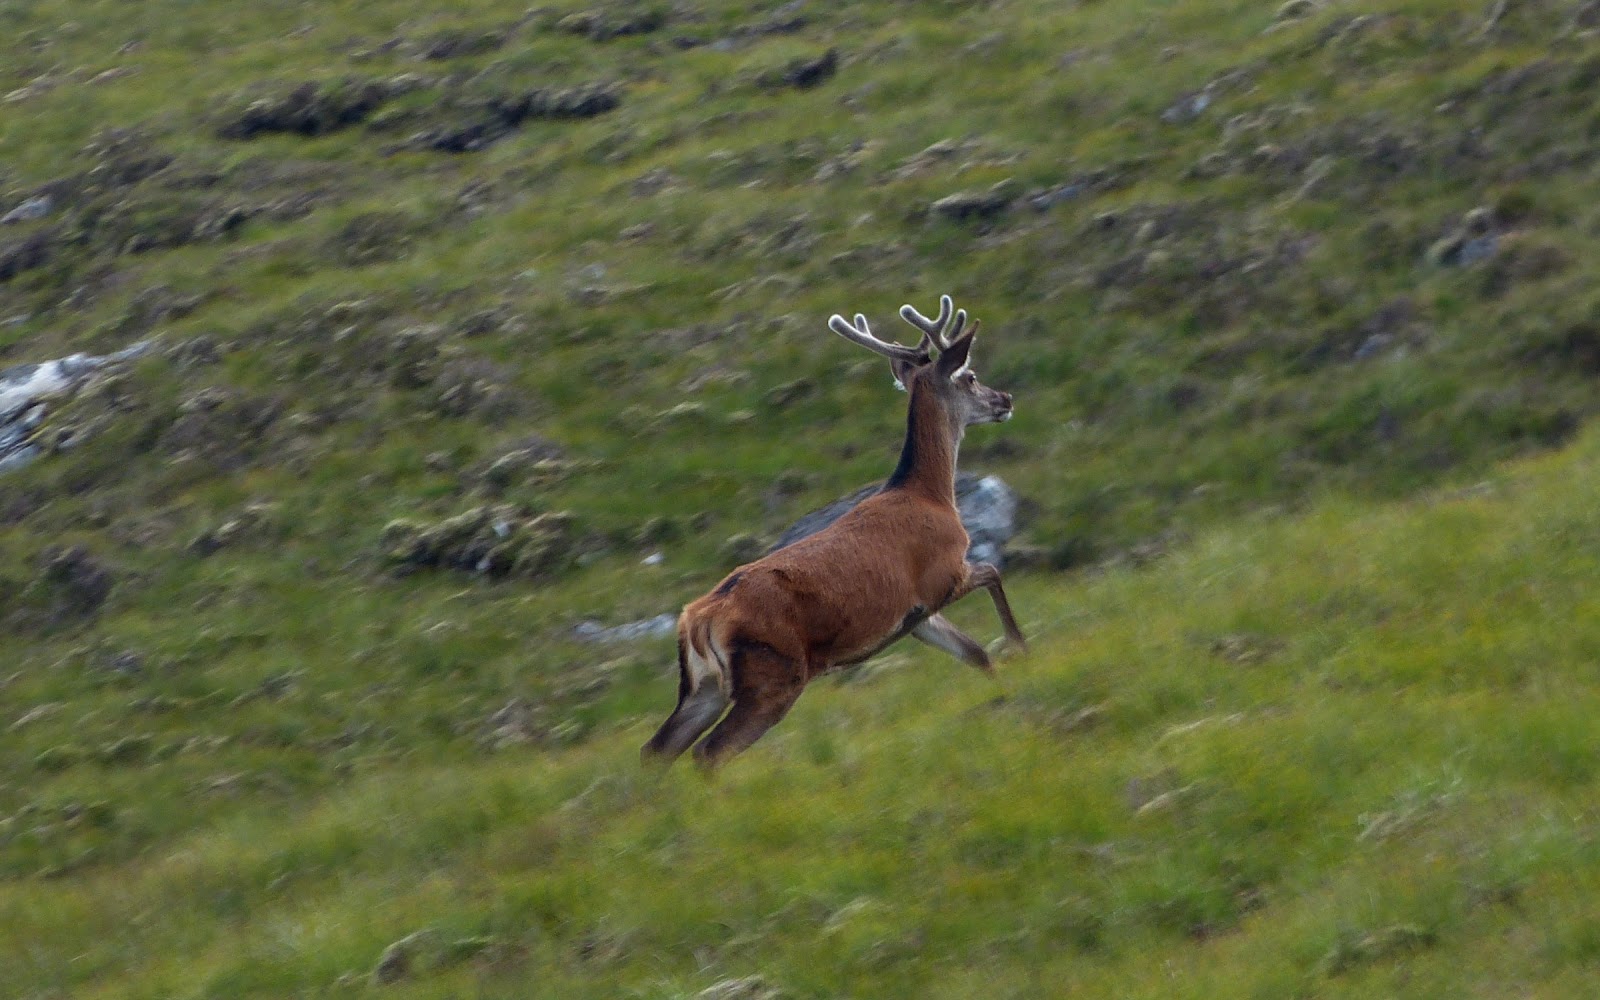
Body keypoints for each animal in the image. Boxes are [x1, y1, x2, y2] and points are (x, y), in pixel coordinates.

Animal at [641, 295, 1026, 770]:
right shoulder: (941, 576)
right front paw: (1020, 648)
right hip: (775, 674)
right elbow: (993, 571)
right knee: (709, 751)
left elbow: (975, 653)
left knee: (657, 749)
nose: (1005, 398)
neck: (931, 494)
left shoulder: (914, 617)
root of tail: (698, 620)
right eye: (970, 377)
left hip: (702, 686)